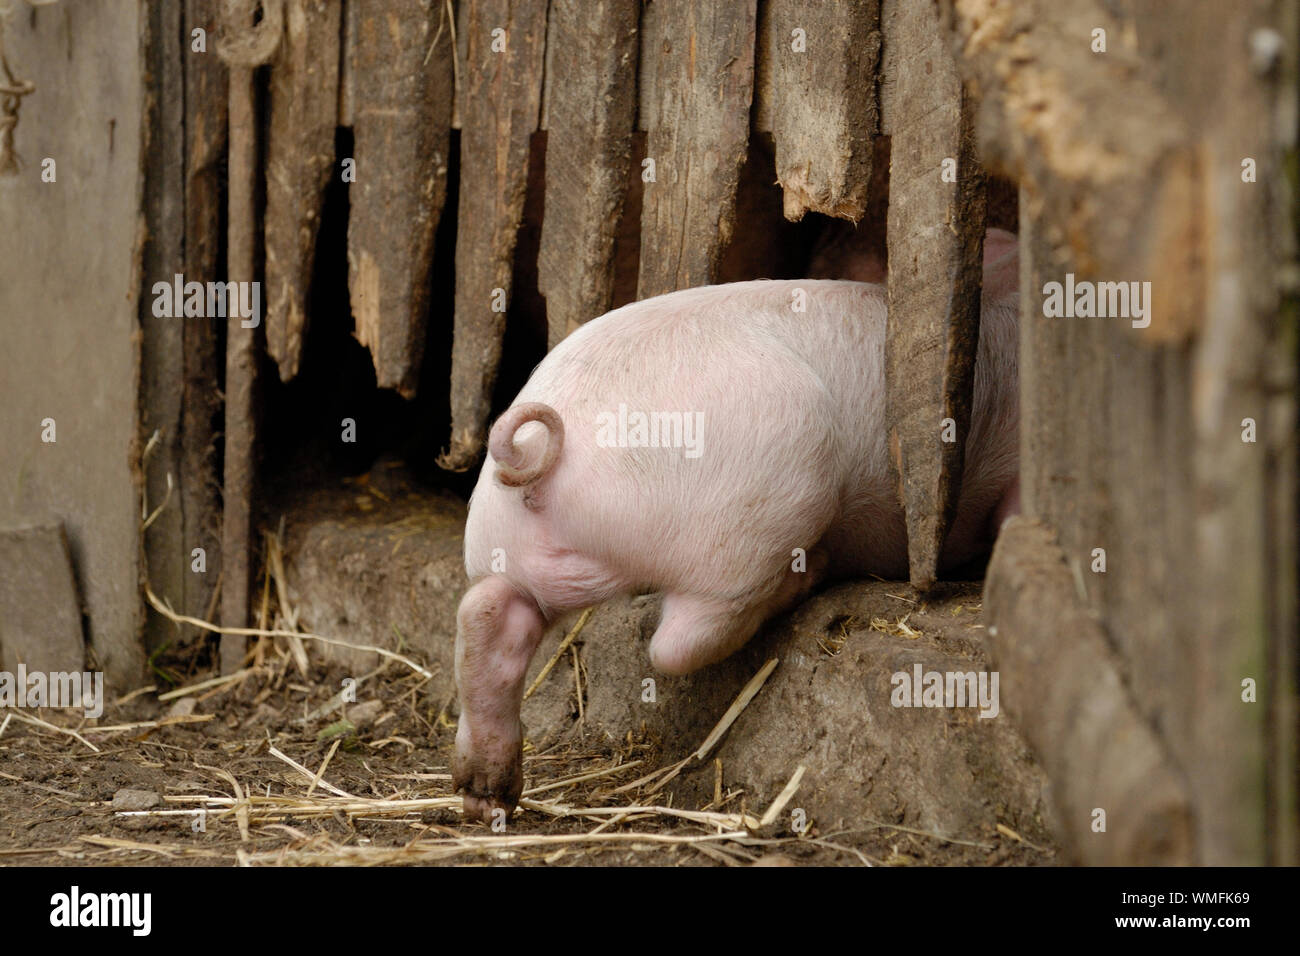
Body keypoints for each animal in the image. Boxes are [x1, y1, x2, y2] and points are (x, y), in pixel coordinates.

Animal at [452, 229, 1021, 822]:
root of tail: (537, 452)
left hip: (518, 552)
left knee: (490, 613)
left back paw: (485, 797)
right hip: (757, 508)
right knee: (681, 640)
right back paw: (807, 574)